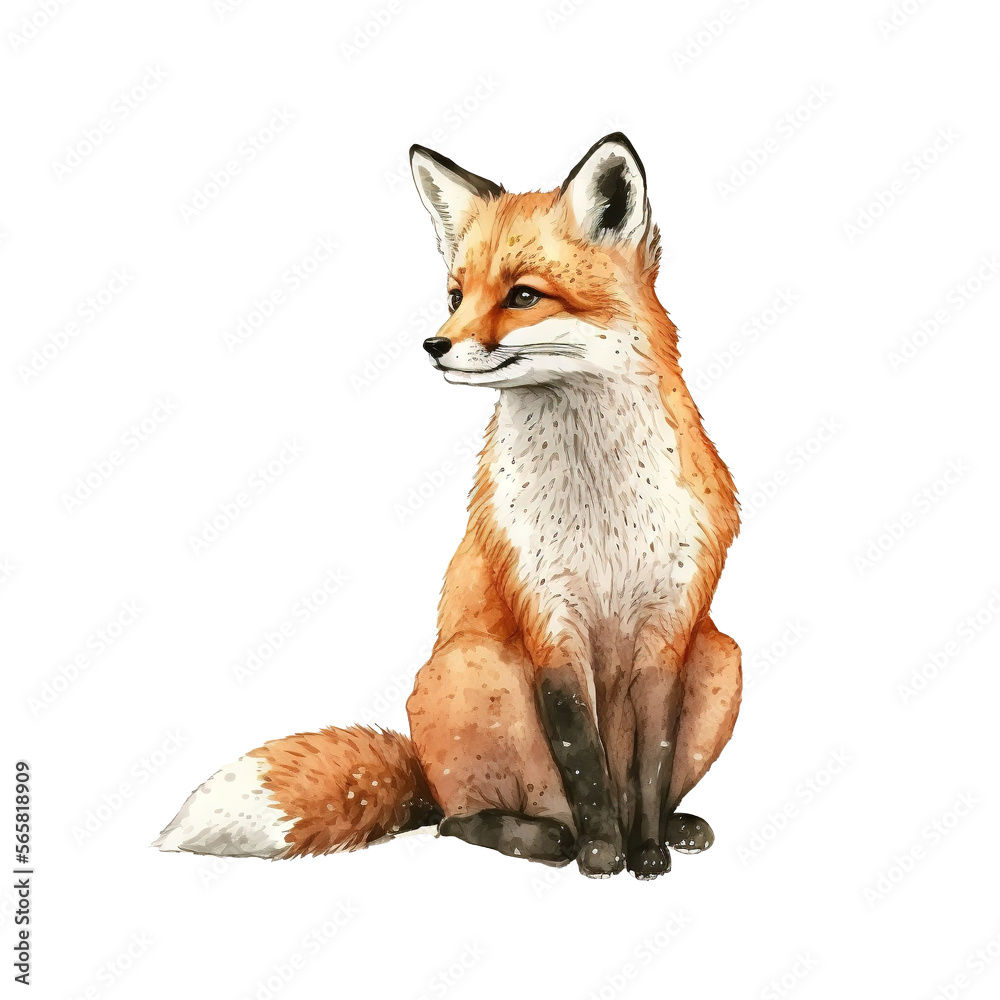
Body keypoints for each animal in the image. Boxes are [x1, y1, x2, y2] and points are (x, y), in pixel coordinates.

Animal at [154, 133, 741, 879]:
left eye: (523, 296)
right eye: (456, 294)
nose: (435, 344)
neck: (599, 505)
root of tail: (425, 778)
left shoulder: (669, 629)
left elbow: (650, 767)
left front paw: (647, 853)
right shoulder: (548, 621)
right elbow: (584, 762)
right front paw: (603, 856)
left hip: (722, 655)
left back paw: (677, 825)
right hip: (475, 668)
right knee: (456, 821)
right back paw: (544, 838)